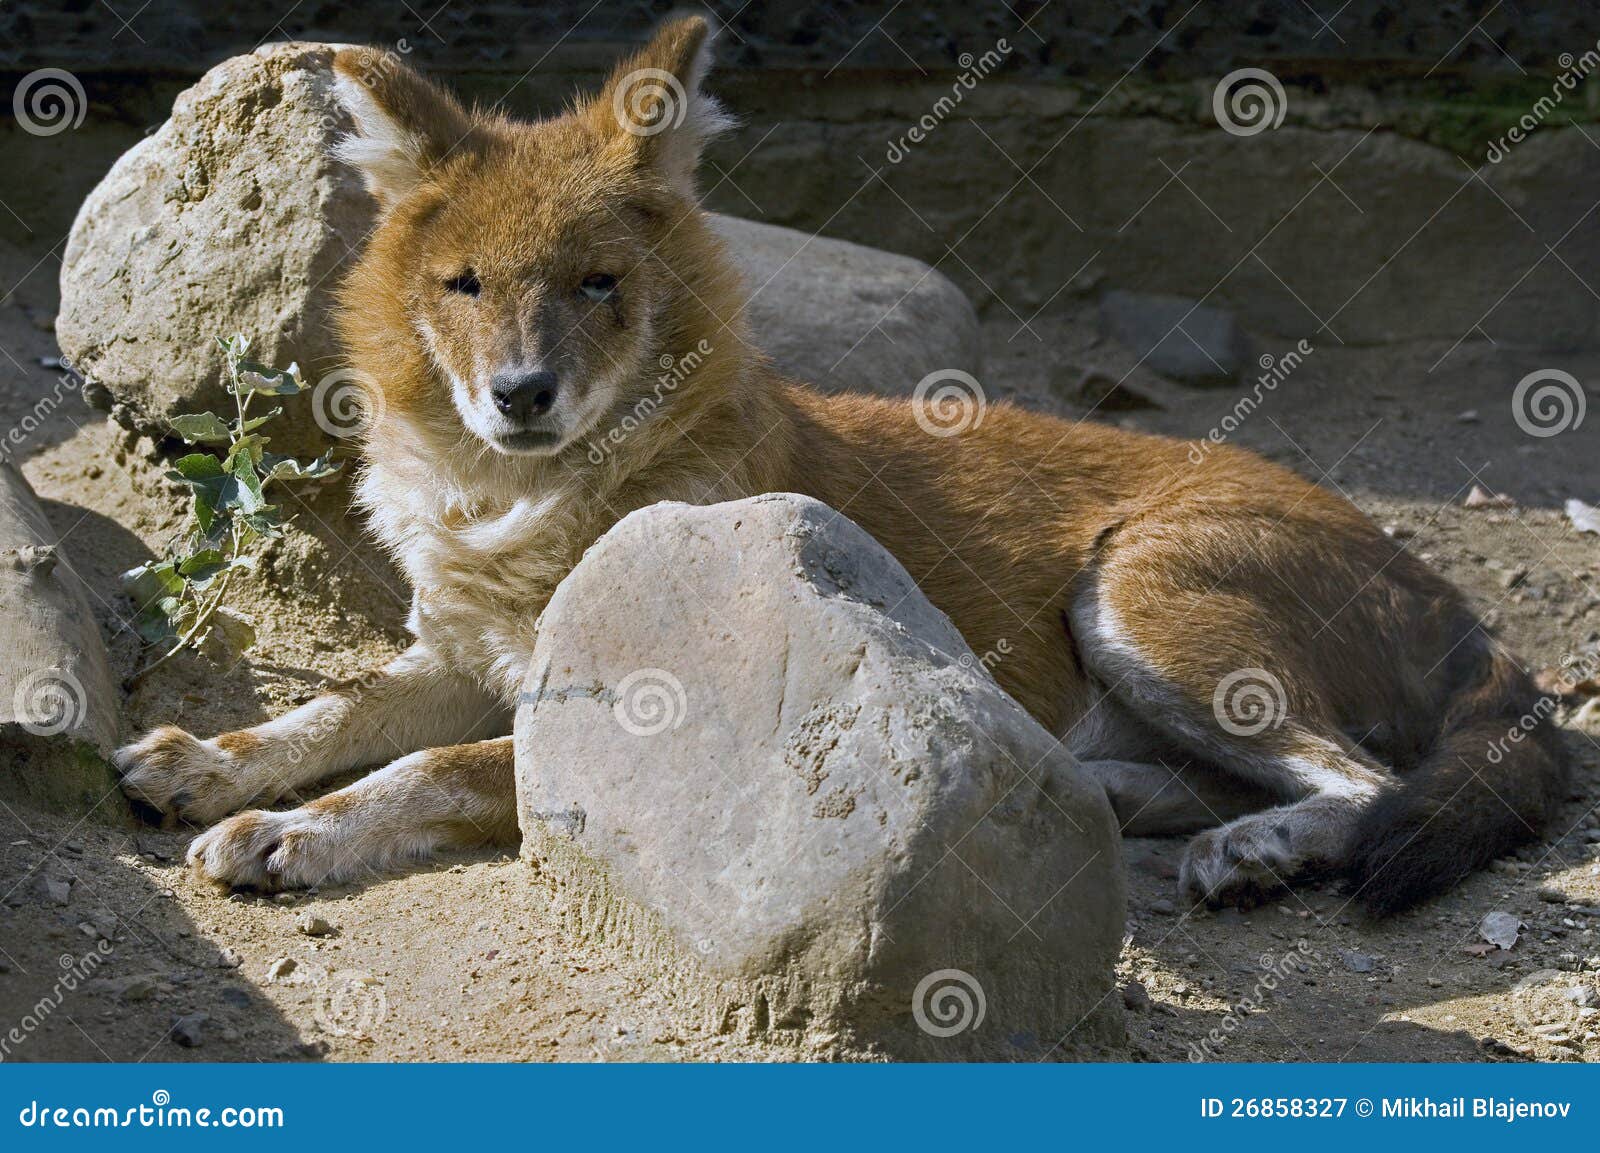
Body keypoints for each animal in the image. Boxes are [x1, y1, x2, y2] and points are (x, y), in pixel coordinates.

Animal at [115, 17, 1567, 914]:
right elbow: (327, 713)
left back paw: (1250, 843)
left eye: (598, 284)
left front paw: (292, 831)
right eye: (463, 284)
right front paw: (208, 760)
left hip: (1138, 590)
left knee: (1364, 785)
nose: (521, 393)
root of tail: (1456, 598)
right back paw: (1075, 786)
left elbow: (426, 770)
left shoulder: (617, 705)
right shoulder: (459, 652)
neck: (523, 505)